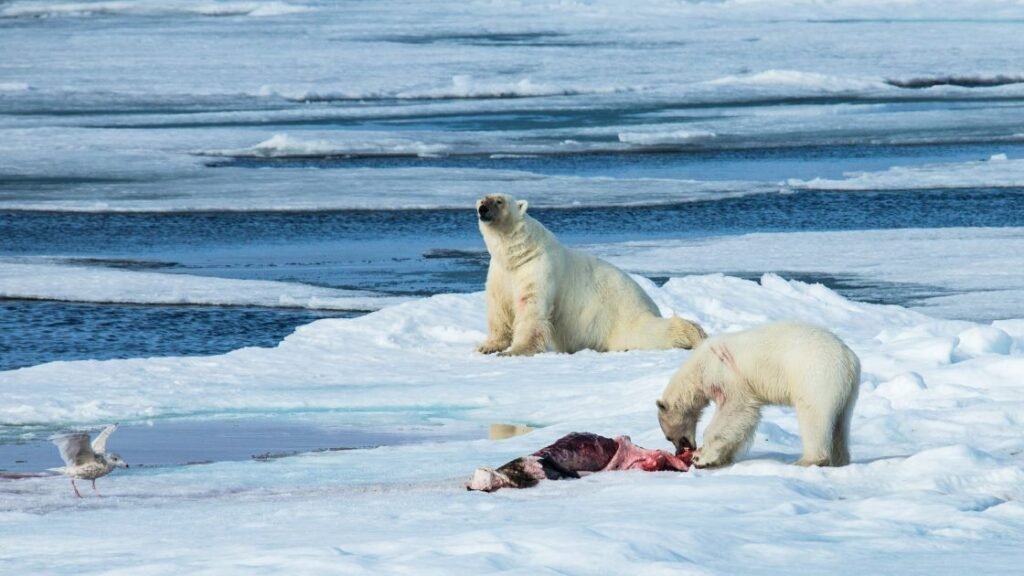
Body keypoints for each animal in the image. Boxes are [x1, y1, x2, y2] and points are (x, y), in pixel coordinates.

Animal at [475, 193, 705, 356]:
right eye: (482, 200)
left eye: (499, 201)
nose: (482, 209)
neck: (518, 255)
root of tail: (651, 306)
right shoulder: (500, 274)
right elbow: (499, 308)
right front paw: (487, 346)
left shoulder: (538, 270)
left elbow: (531, 308)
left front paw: (514, 351)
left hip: (622, 318)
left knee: (650, 333)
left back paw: (692, 333)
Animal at [657, 322, 860, 468]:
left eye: (669, 437)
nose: (680, 452)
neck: (699, 367)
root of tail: (849, 359)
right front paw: (722, 457)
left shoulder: (727, 376)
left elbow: (735, 409)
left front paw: (701, 457)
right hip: (846, 391)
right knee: (841, 423)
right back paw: (841, 459)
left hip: (815, 377)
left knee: (813, 417)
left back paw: (808, 460)